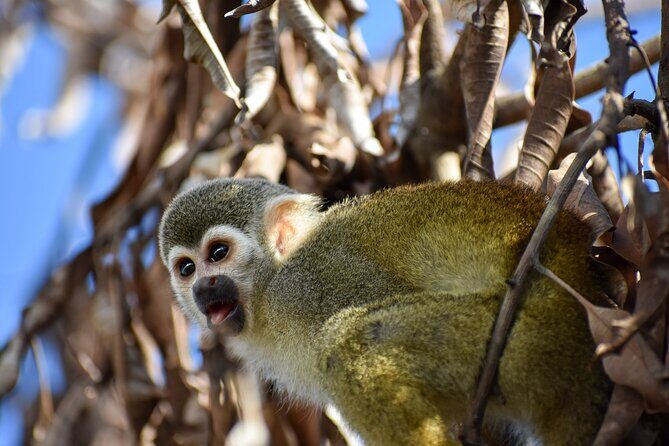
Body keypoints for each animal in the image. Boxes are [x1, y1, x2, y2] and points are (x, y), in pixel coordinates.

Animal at [158, 177, 612, 445]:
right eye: (187, 268)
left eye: (218, 253)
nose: (203, 286)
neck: (269, 290)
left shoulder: (316, 280)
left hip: (523, 338)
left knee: (349, 344)